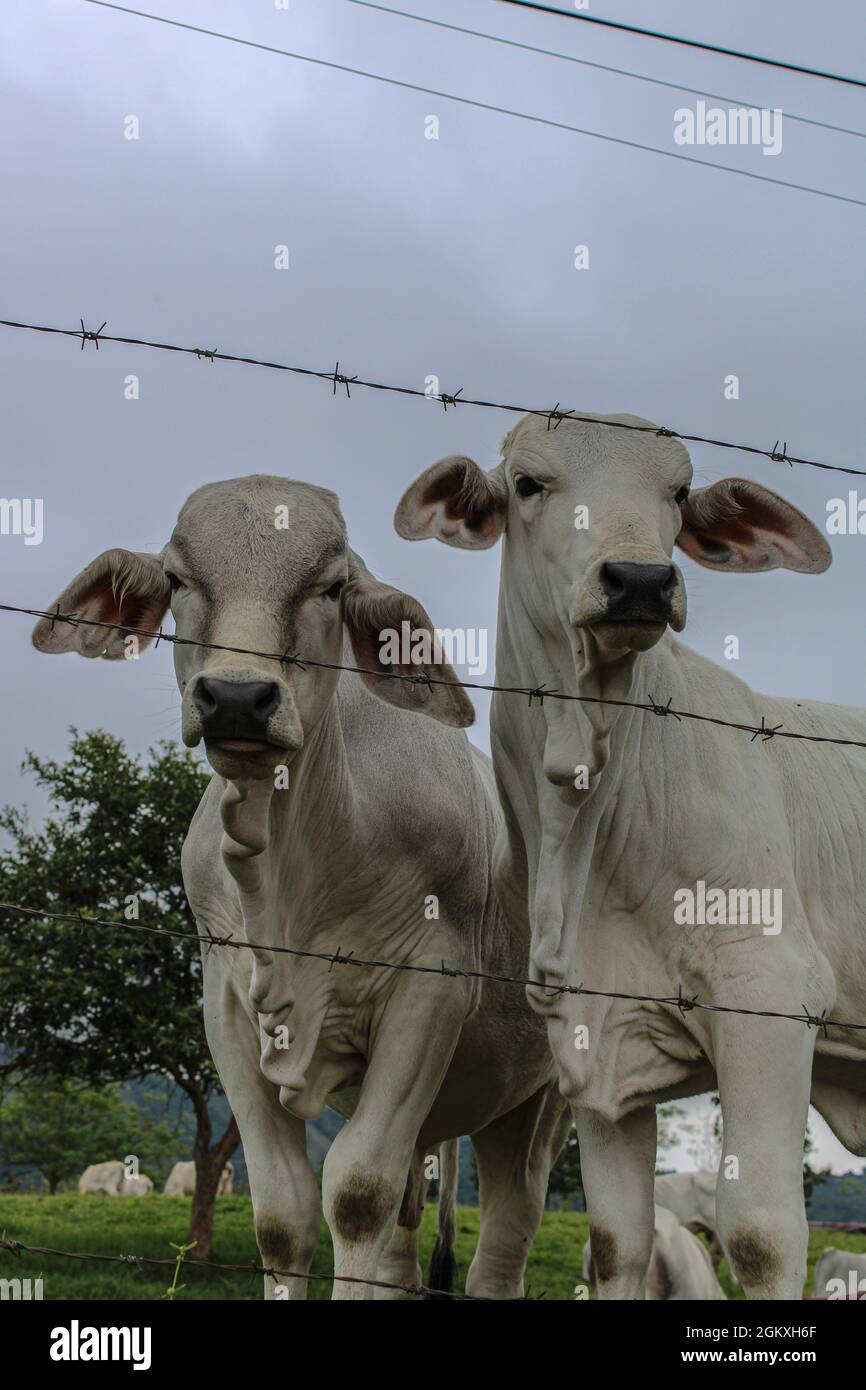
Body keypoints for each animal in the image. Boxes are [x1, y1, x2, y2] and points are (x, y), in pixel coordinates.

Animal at [33, 474, 569, 1300]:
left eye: (333, 586)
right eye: (178, 578)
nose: (236, 698)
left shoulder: (429, 994)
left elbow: (356, 1192)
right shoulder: (226, 1005)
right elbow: (283, 1214)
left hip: (541, 1101)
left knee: (509, 1238)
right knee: (411, 1233)